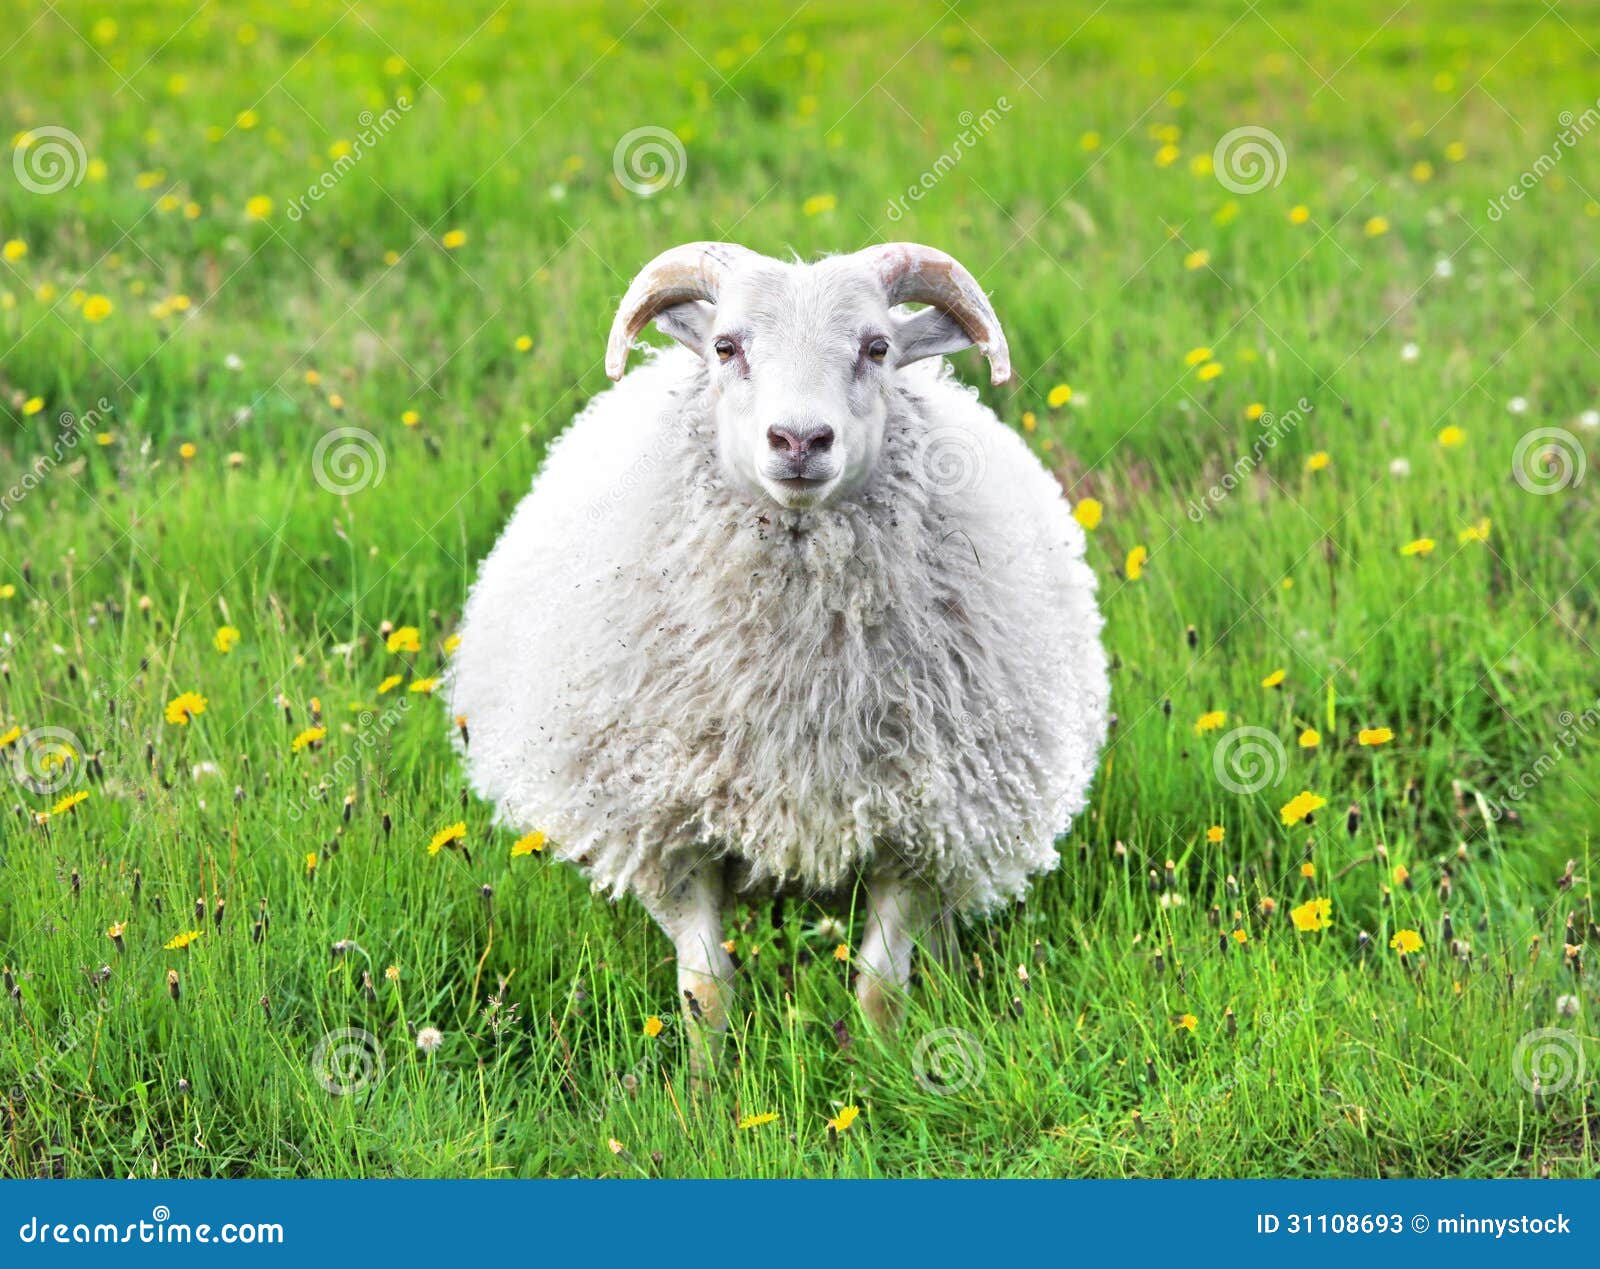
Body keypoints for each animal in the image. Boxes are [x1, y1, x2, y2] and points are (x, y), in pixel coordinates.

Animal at [448, 241, 1109, 1065]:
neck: (801, 687)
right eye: (727, 347)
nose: (799, 441)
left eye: (877, 347)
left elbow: (881, 986)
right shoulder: (668, 832)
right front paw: (705, 1084)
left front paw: (880, 1072)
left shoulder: (921, 830)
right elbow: (705, 990)